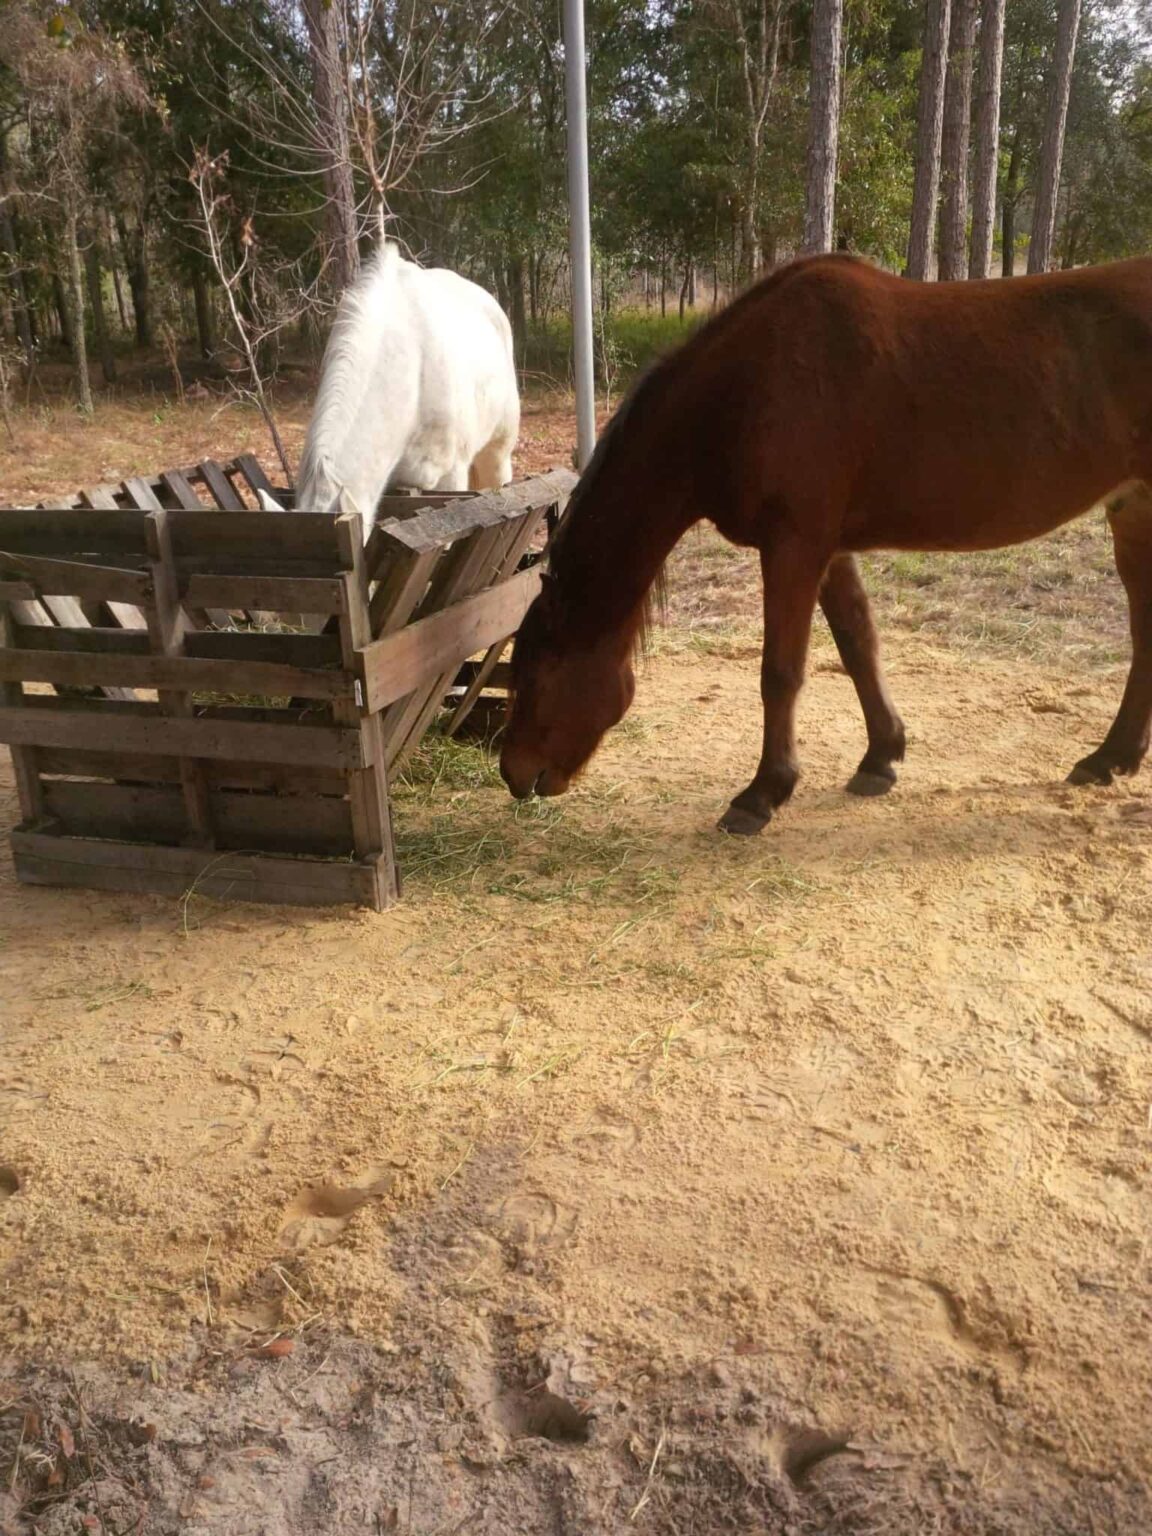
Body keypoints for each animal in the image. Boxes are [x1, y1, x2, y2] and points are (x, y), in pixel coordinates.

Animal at [500, 252, 1152, 835]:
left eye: (535, 669)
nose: (513, 774)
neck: (745, 388)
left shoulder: (794, 545)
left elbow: (780, 672)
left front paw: (763, 793)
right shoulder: (830, 549)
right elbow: (859, 643)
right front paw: (881, 757)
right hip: (1134, 513)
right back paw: (1110, 758)